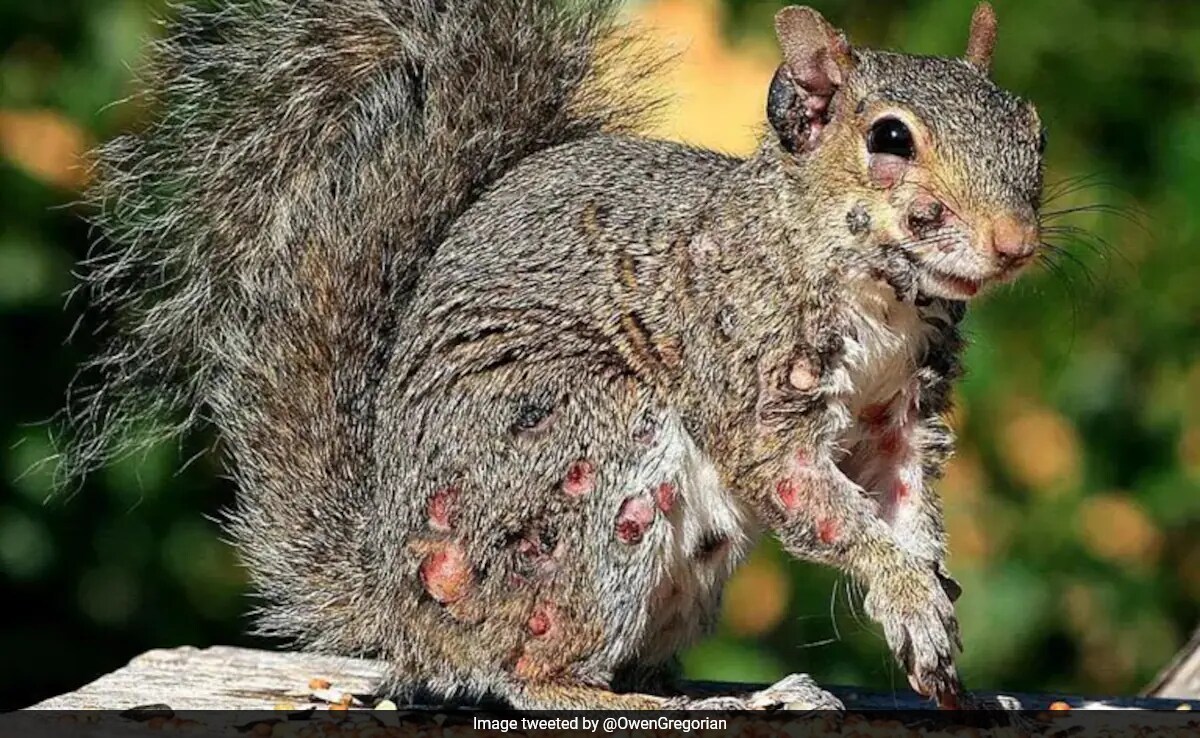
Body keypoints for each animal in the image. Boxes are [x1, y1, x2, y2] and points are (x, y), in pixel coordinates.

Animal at [62, 0, 1046, 712]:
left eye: (1031, 132)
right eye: (890, 138)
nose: (1015, 243)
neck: (881, 297)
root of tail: (399, 603)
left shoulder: (900, 416)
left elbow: (905, 504)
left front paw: (930, 617)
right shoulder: (747, 373)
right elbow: (816, 498)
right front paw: (907, 592)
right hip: (585, 457)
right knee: (521, 677)